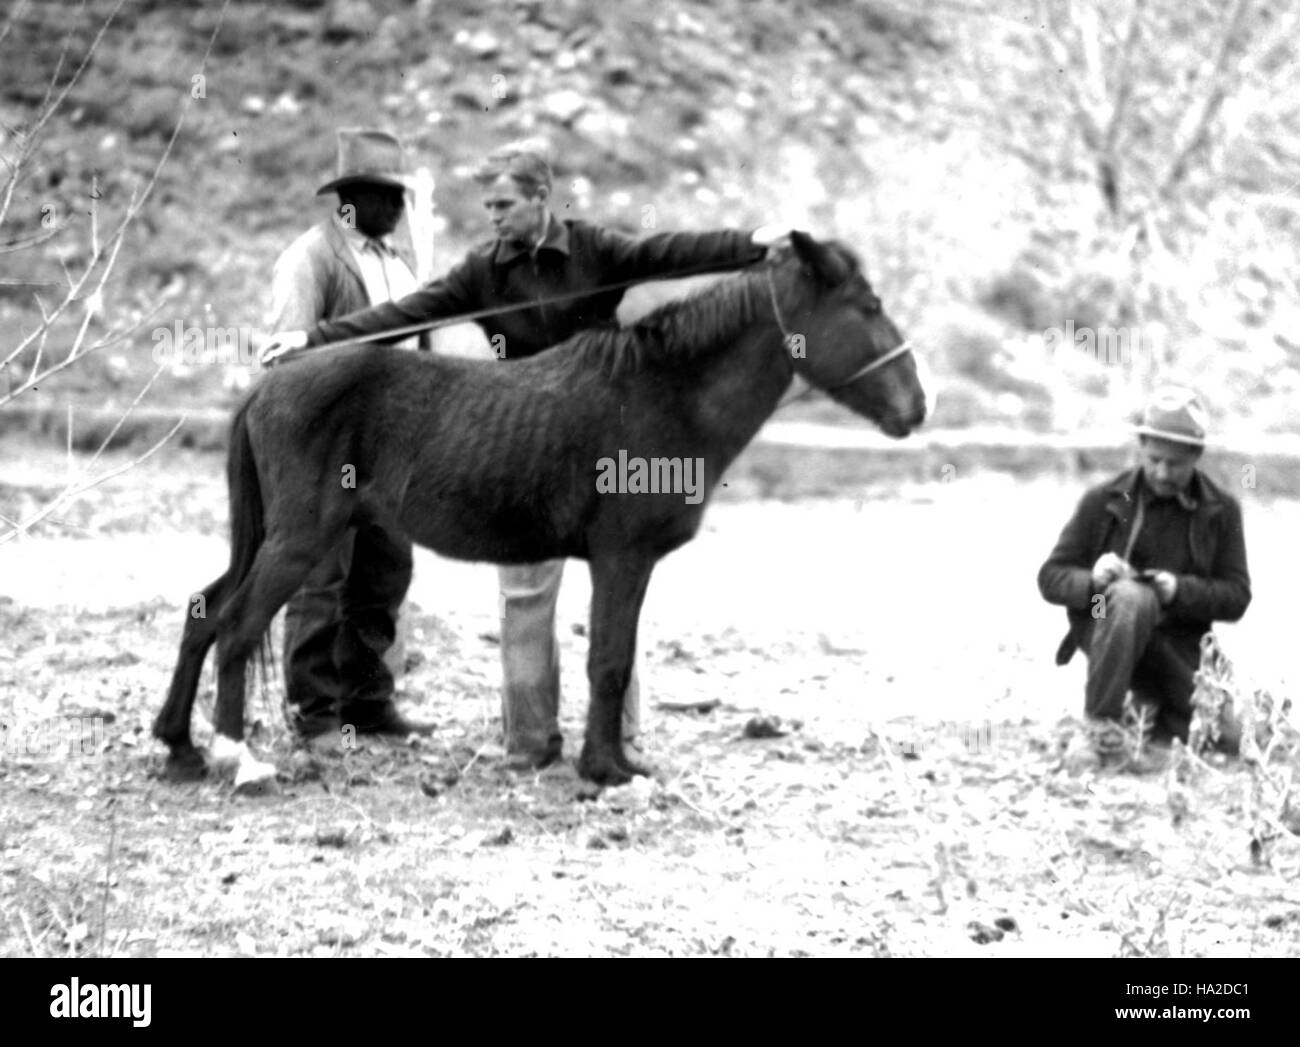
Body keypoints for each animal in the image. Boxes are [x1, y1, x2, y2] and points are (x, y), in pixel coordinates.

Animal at [152, 231, 929, 787]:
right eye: (867, 307)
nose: (917, 406)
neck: (663, 394)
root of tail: (271, 381)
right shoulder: (622, 559)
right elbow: (608, 660)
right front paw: (604, 769)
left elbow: (615, 659)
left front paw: (614, 759)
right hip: (297, 541)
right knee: (236, 628)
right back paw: (236, 757)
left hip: (272, 538)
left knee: (203, 614)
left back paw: (180, 748)